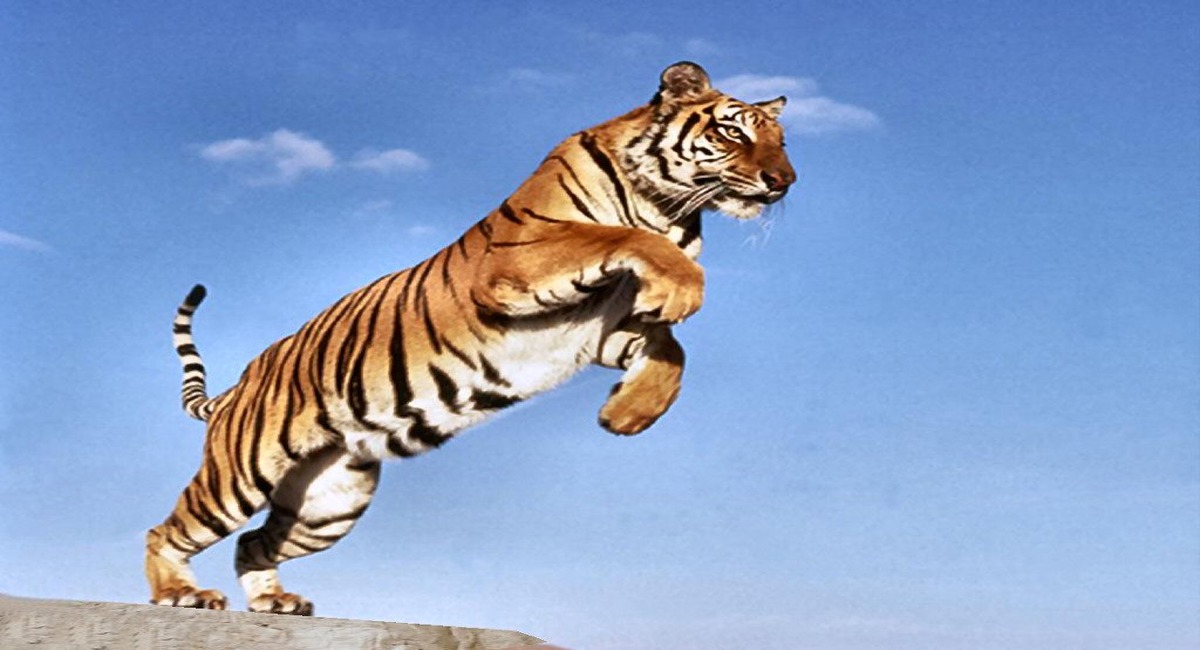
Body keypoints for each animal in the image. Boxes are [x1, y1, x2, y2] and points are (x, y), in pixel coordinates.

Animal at [146, 61, 796, 615]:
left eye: (783, 142)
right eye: (733, 131)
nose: (784, 181)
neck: (670, 208)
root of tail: (238, 386)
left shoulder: (606, 326)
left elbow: (672, 353)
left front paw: (628, 414)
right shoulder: (518, 262)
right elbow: (628, 241)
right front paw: (683, 290)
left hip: (330, 502)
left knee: (253, 543)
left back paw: (275, 601)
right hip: (242, 472)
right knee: (170, 530)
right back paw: (182, 593)